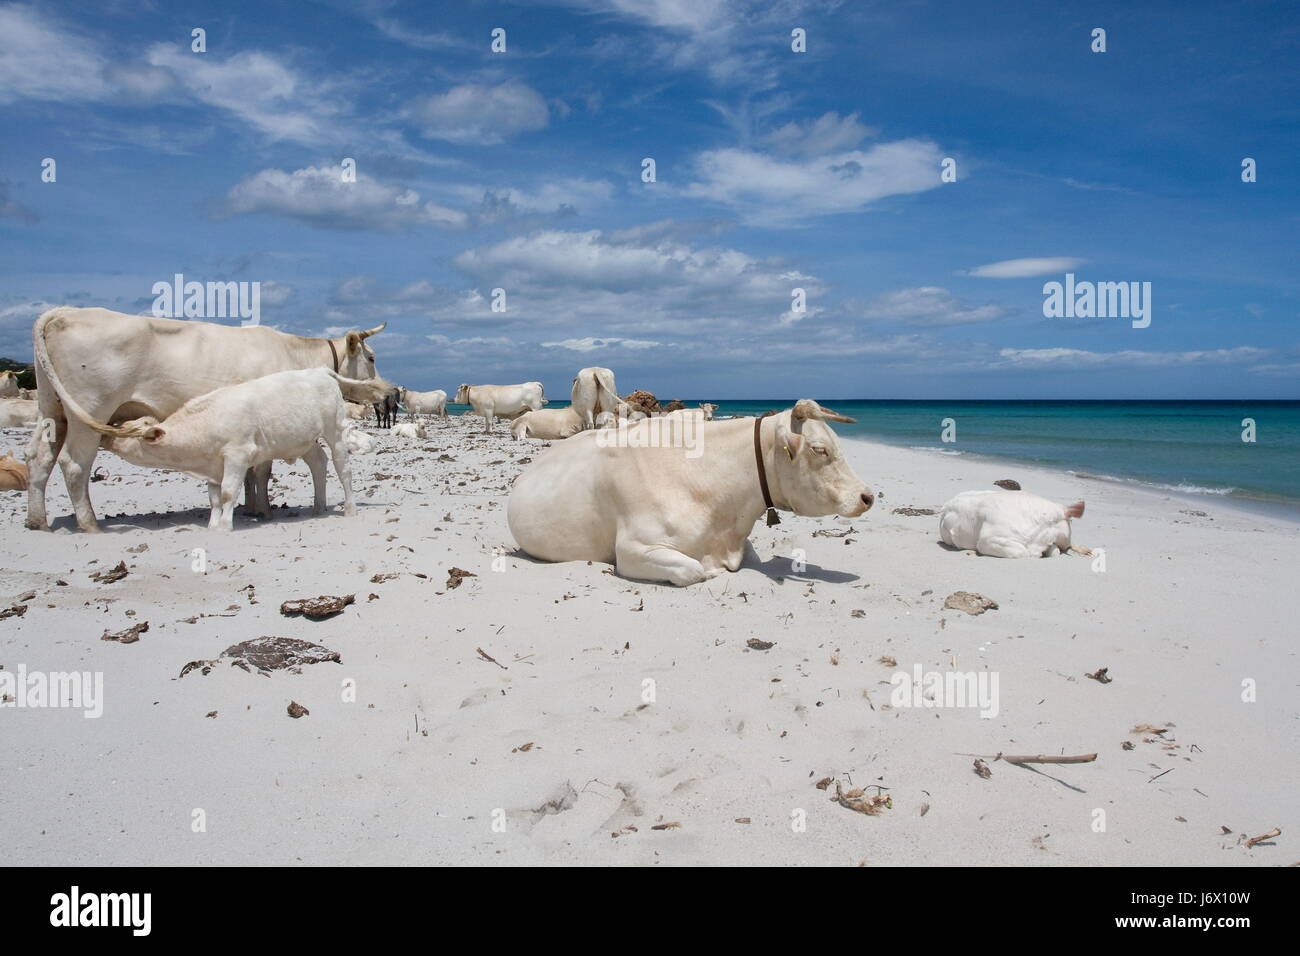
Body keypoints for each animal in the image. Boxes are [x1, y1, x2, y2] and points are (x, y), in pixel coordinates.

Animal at [96, 368, 386, 531]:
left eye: (131, 431)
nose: (104, 437)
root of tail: (321, 370)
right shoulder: (213, 465)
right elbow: (214, 498)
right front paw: (212, 526)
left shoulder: (237, 455)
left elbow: (227, 493)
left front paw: (225, 526)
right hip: (303, 439)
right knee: (318, 462)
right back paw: (318, 508)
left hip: (333, 430)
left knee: (342, 466)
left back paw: (349, 508)